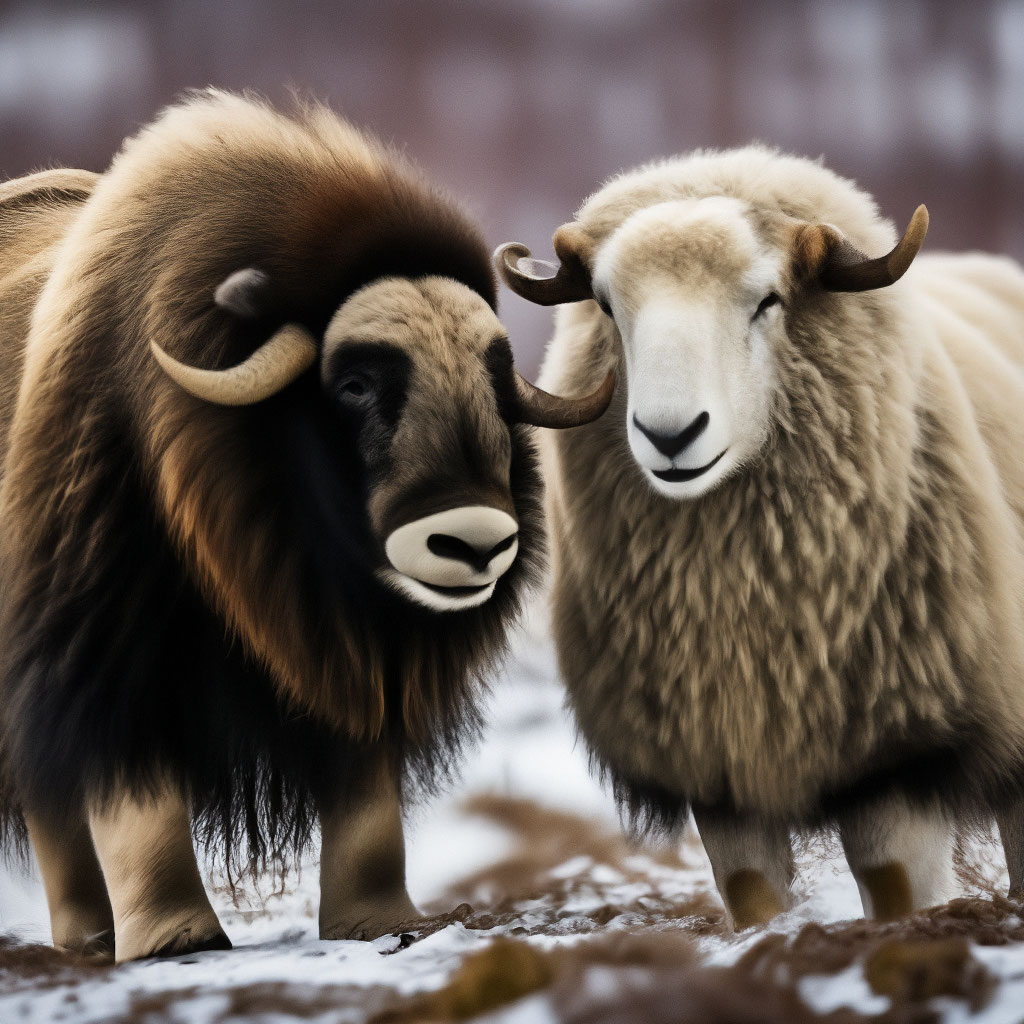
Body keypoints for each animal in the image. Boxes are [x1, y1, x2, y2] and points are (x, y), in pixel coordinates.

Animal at [0, 91, 613, 962]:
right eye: (353, 385)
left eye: (496, 382)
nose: (476, 542)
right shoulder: (104, 645)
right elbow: (132, 792)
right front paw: (176, 938)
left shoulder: (362, 661)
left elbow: (366, 797)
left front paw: (380, 922)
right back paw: (89, 938)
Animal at [496, 145, 1024, 929]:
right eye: (607, 307)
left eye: (768, 301)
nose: (670, 436)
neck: (749, 614)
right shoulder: (718, 763)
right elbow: (750, 894)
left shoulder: (897, 752)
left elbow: (896, 887)